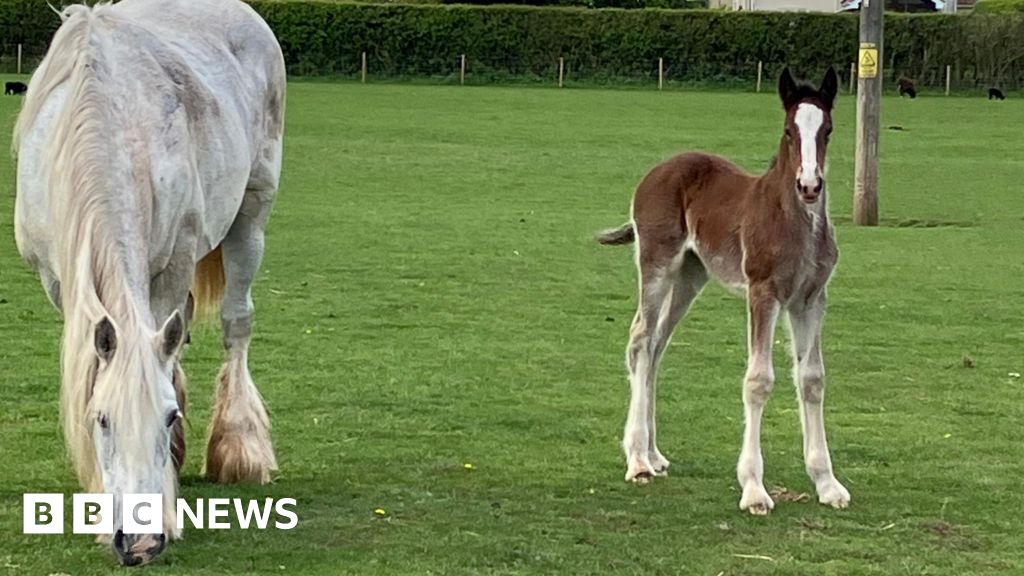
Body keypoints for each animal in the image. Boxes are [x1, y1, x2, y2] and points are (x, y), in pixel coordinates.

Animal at [13, 0, 284, 564]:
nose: (139, 542)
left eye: (167, 416)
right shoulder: (57, 280)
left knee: (236, 324)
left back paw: (239, 448)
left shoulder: (174, 261)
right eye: (101, 420)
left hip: (252, 213)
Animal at [597, 68, 850, 515]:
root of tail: (658, 170)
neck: (796, 222)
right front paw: (753, 489)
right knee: (640, 340)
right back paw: (638, 459)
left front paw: (827, 484)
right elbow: (758, 380)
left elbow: (812, 378)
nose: (809, 185)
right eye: (788, 131)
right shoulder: (763, 292)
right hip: (657, 264)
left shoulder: (810, 299)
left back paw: (655, 454)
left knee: (658, 345)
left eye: (828, 130)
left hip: (691, 275)